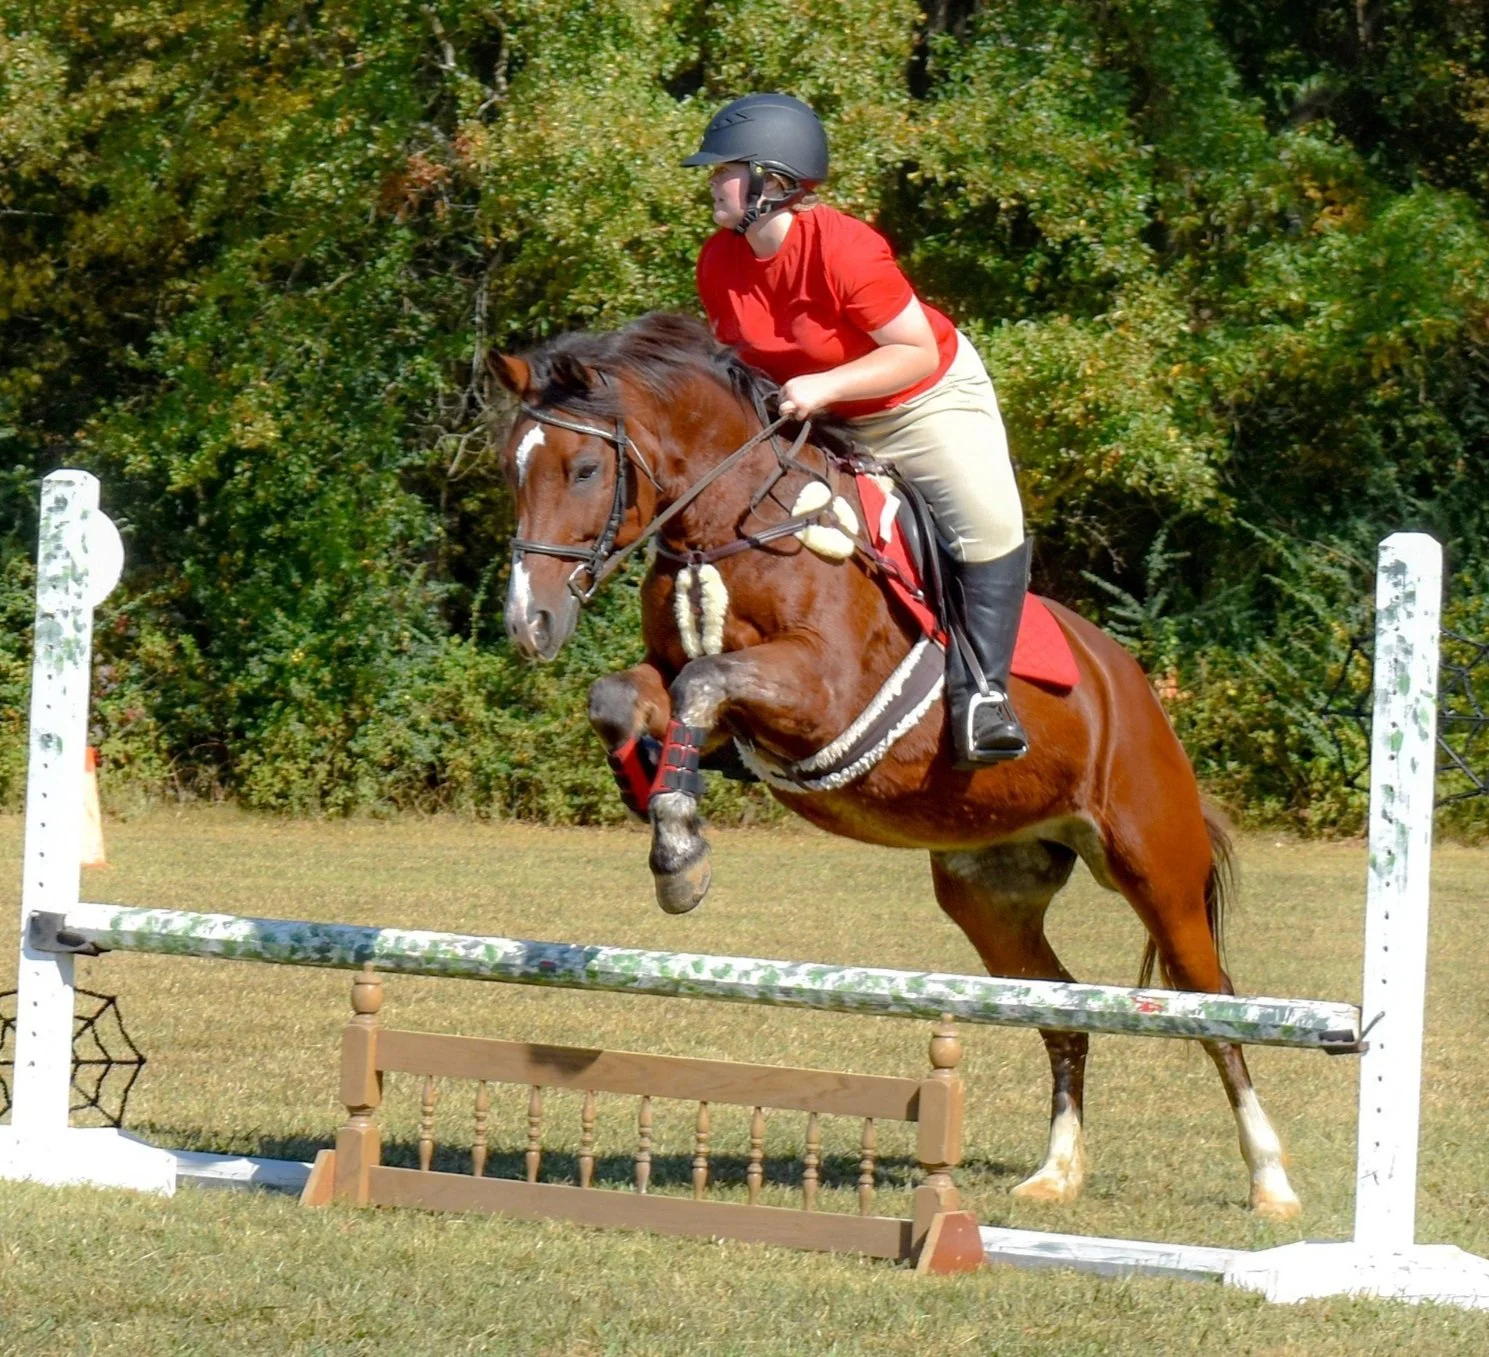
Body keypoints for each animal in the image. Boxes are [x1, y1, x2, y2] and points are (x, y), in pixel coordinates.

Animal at [491, 311, 1301, 1220]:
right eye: (510, 466)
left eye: (585, 467)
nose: (529, 622)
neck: (734, 524)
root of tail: (1132, 685)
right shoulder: (688, 681)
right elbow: (622, 695)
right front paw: (663, 811)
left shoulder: (823, 692)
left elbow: (704, 682)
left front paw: (678, 853)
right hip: (990, 895)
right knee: (1060, 1013)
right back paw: (1056, 1170)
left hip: (1155, 869)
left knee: (1215, 1007)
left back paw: (1270, 1179)